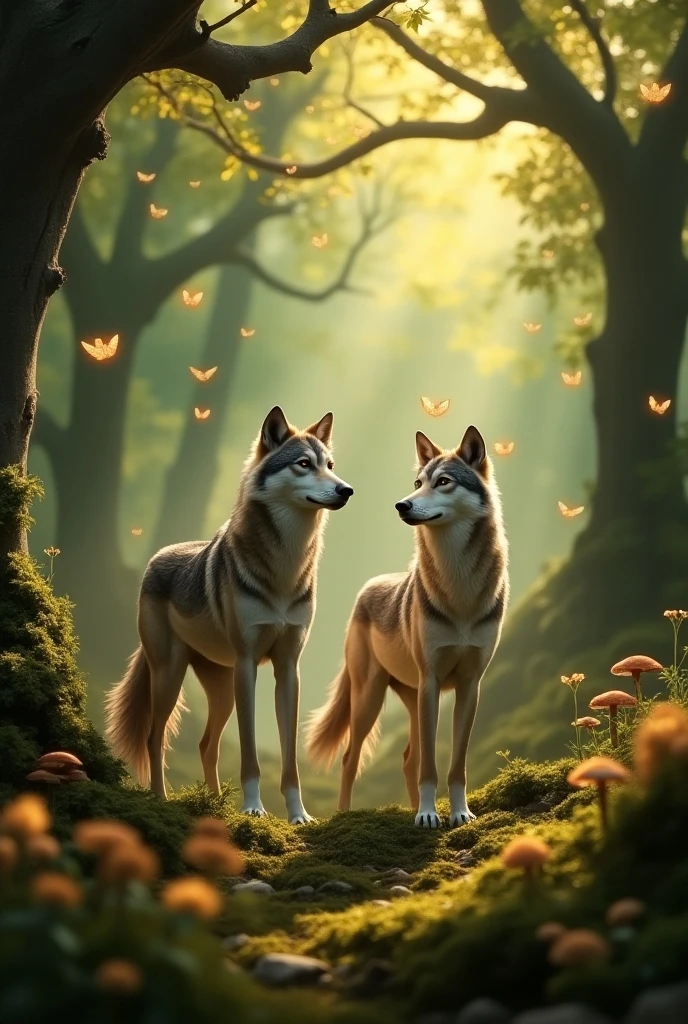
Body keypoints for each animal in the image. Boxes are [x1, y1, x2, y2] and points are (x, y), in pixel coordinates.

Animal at [105, 406, 353, 825]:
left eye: (331, 466)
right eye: (304, 464)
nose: (346, 490)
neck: (285, 567)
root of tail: (156, 556)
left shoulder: (288, 669)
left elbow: (290, 760)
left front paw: (298, 815)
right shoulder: (248, 664)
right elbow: (250, 754)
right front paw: (253, 808)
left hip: (221, 689)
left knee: (207, 744)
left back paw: (216, 805)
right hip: (173, 676)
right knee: (155, 737)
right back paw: (161, 798)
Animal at [306, 425, 508, 828]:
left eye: (443, 482)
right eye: (417, 483)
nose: (402, 505)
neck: (460, 589)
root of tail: (367, 588)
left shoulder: (470, 686)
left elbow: (456, 765)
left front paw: (458, 813)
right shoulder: (431, 681)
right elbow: (430, 766)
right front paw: (429, 815)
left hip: (413, 702)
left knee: (406, 758)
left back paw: (415, 808)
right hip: (371, 698)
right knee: (353, 757)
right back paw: (346, 814)